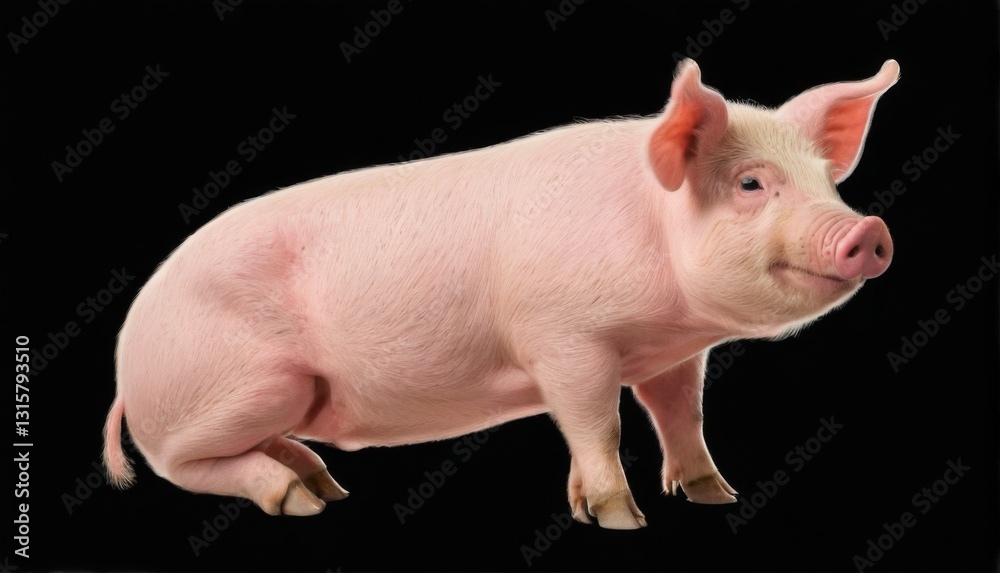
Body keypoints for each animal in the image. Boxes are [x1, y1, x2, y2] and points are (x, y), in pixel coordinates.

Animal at [103, 59, 899, 530]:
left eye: (828, 181)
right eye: (750, 183)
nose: (869, 229)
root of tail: (126, 361)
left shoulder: (671, 354)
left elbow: (680, 415)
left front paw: (713, 495)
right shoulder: (564, 338)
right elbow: (597, 424)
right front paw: (620, 518)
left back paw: (324, 484)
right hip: (252, 382)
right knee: (179, 463)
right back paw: (301, 499)